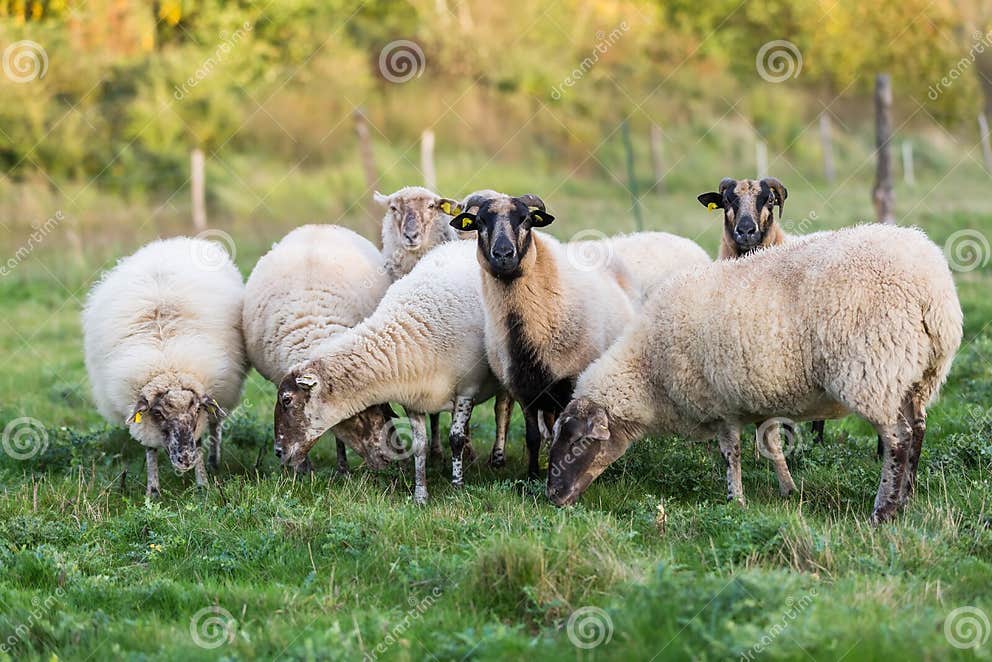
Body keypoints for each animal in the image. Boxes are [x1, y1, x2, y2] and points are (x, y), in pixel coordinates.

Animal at [83, 237, 248, 497]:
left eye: (196, 410)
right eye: (158, 413)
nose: (185, 460)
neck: (166, 358)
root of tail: (170, 242)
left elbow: (199, 441)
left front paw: (202, 485)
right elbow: (150, 450)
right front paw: (153, 491)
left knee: (216, 426)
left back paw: (214, 461)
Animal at [272, 240, 503, 503]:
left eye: (287, 400)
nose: (278, 452)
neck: (410, 332)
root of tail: (462, 242)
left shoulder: (468, 388)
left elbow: (455, 439)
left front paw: (457, 487)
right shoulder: (415, 398)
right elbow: (419, 446)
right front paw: (420, 495)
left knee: (501, 409)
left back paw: (497, 458)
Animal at [546, 224, 963, 524]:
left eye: (578, 442)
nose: (551, 496)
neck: (648, 369)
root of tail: (932, 287)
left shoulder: (720, 402)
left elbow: (731, 453)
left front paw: (736, 500)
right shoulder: (757, 398)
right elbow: (773, 445)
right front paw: (788, 490)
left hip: (874, 373)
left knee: (898, 440)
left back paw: (883, 511)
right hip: (917, 376)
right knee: (918, 430)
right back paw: (905, 499)